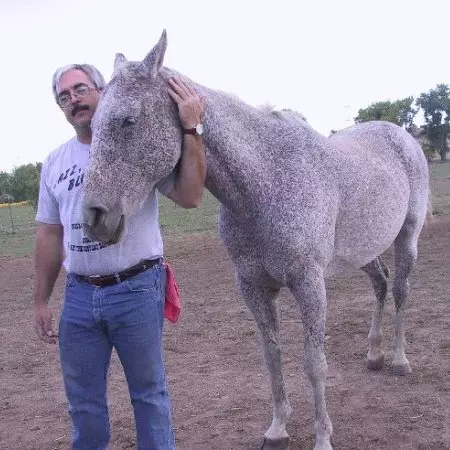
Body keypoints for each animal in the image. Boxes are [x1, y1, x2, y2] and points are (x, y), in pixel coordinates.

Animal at [81, 31, 428, 450]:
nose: (94, 216)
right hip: (364, 250)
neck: (264, 183)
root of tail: (401, 135)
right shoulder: (253, 285)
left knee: (401, 290)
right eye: (93, 123)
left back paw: (399, 361)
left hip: (407, 235)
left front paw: (322, 437)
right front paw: (277, 428)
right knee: (380, 283)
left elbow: (315, 363)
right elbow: (271, 355)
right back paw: (374, 355)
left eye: (129, 120)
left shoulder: (308, 282)